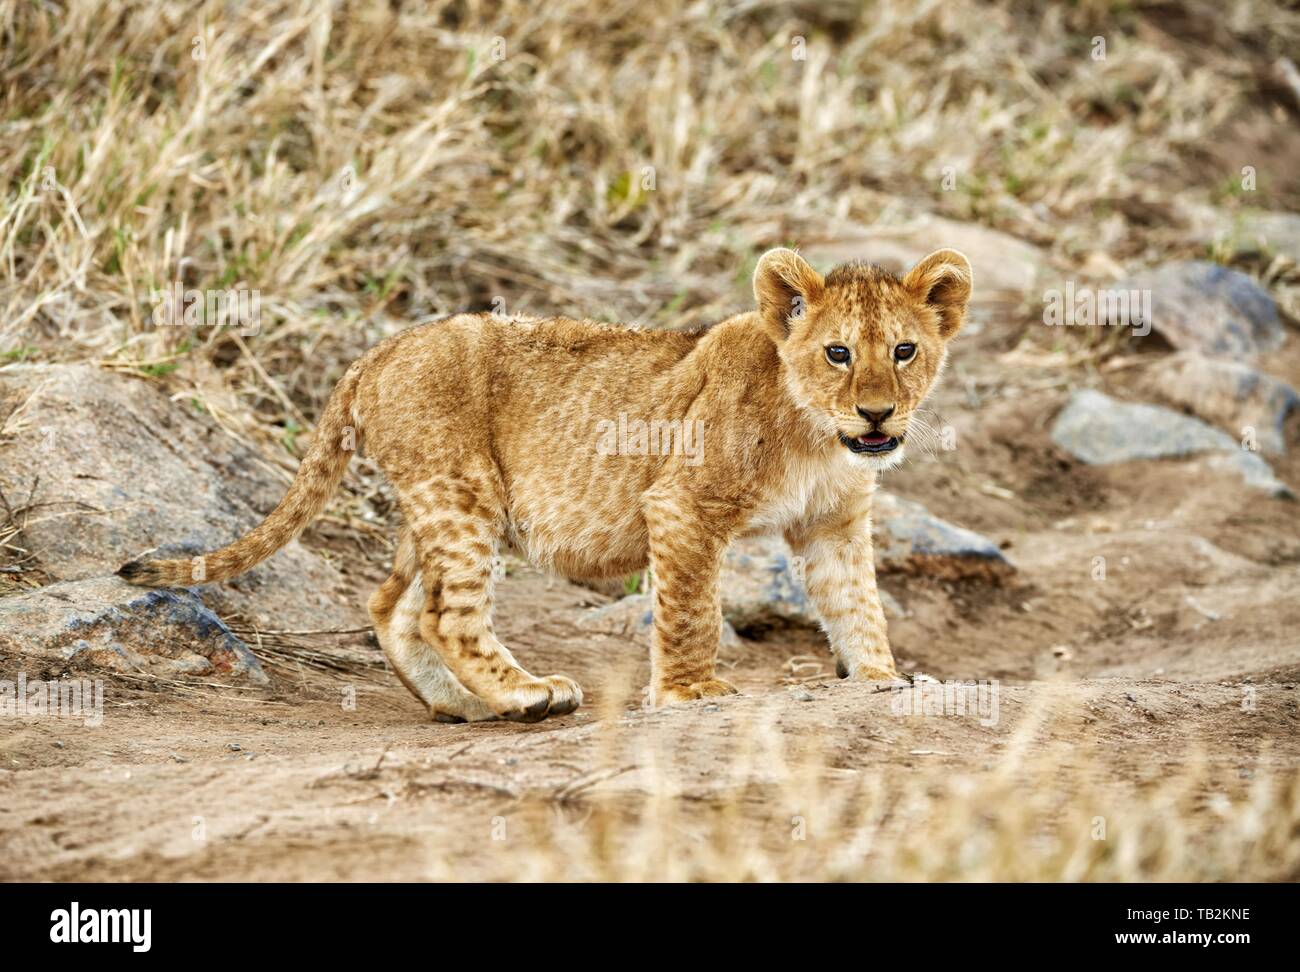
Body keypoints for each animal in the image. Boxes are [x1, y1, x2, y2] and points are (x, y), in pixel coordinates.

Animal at [119, 247, 972, 722]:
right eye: (836, 352)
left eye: (903, 350)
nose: (875, 413)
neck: (817, 437)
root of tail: (384, 348)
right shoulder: (683, 506)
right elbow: (691, 612)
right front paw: (692, 693)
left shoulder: (833, 524)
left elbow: (858, 606)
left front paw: (883, 679)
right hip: (462, 492)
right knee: (446, 615)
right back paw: (525, 695)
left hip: (438, 501)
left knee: (393, 605)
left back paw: (465, 707)